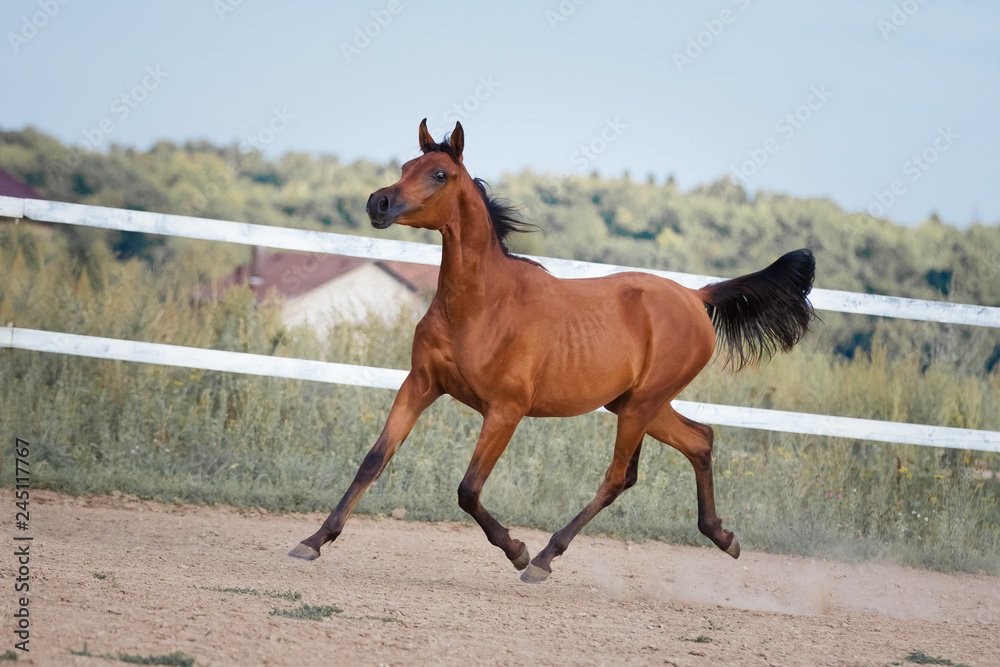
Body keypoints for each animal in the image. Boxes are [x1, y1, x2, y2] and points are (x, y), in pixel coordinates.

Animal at [289, 119, 816, 583]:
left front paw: (517, 550)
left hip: (641, 405)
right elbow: (373, 460)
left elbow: (468, 490)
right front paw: (313, 541)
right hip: (635, 403)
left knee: (617, 476)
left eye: (439, 174)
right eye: (404, 165)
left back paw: (544, 559)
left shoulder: (505, 409)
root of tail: (696, 295)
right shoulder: (420, 385)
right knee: (698, 441)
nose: (377, 203)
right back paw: (724, 537)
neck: (481, 305)